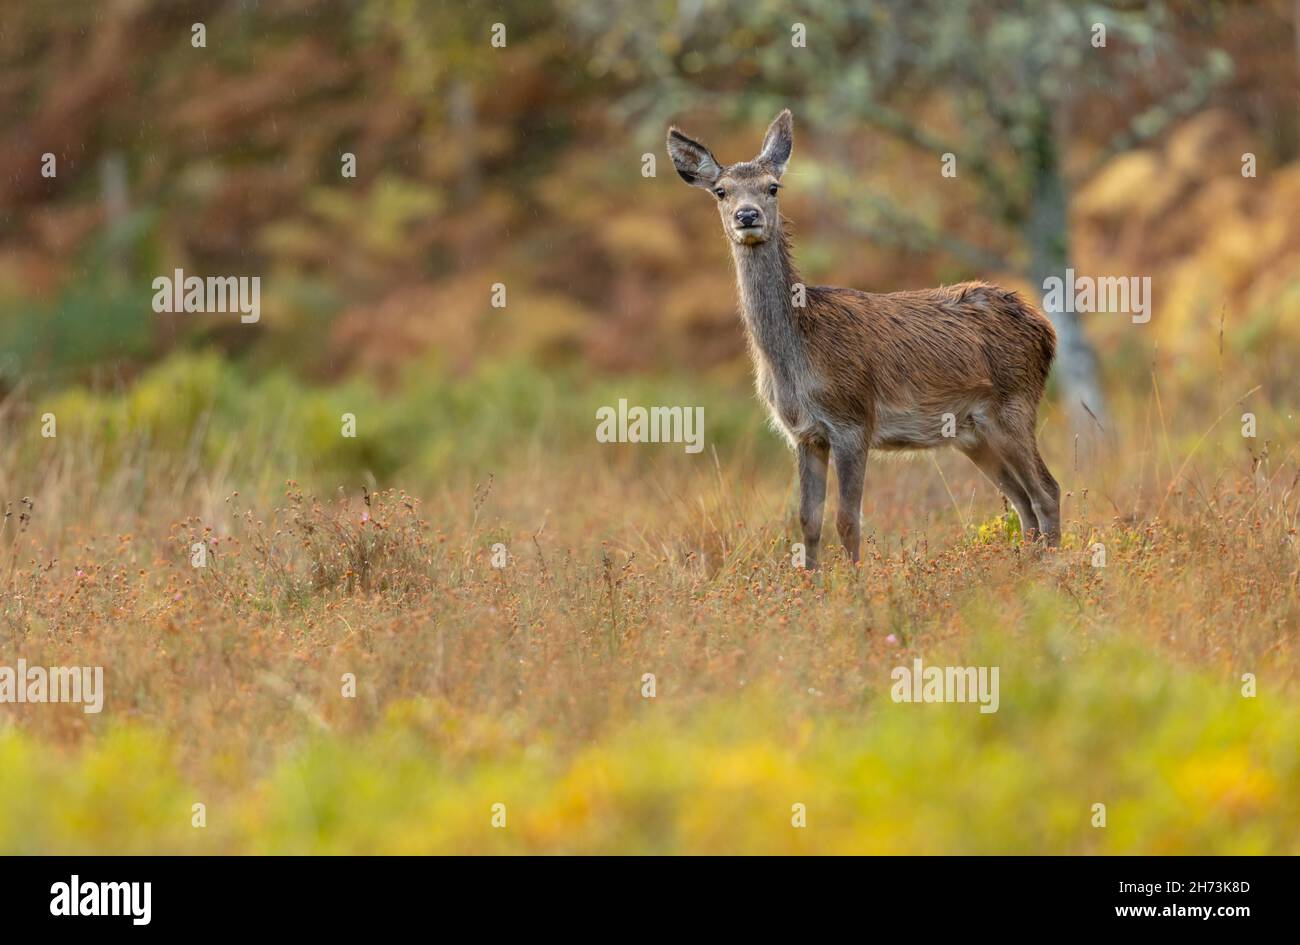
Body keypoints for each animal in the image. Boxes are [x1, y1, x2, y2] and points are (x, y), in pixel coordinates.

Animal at [667, 109, 1061, 569]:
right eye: (721, 191)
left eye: (773, 187)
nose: (747, 215)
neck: (797, 355)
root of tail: (1046, 330)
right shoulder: (804, 434)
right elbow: (808, 520)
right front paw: (811, 583)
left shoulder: (853, 420)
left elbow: (848, 521)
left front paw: (855, 584)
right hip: (974, 433)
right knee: (1023, 501)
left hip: (1015, 406)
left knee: (1047, 491)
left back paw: (1053, 569)